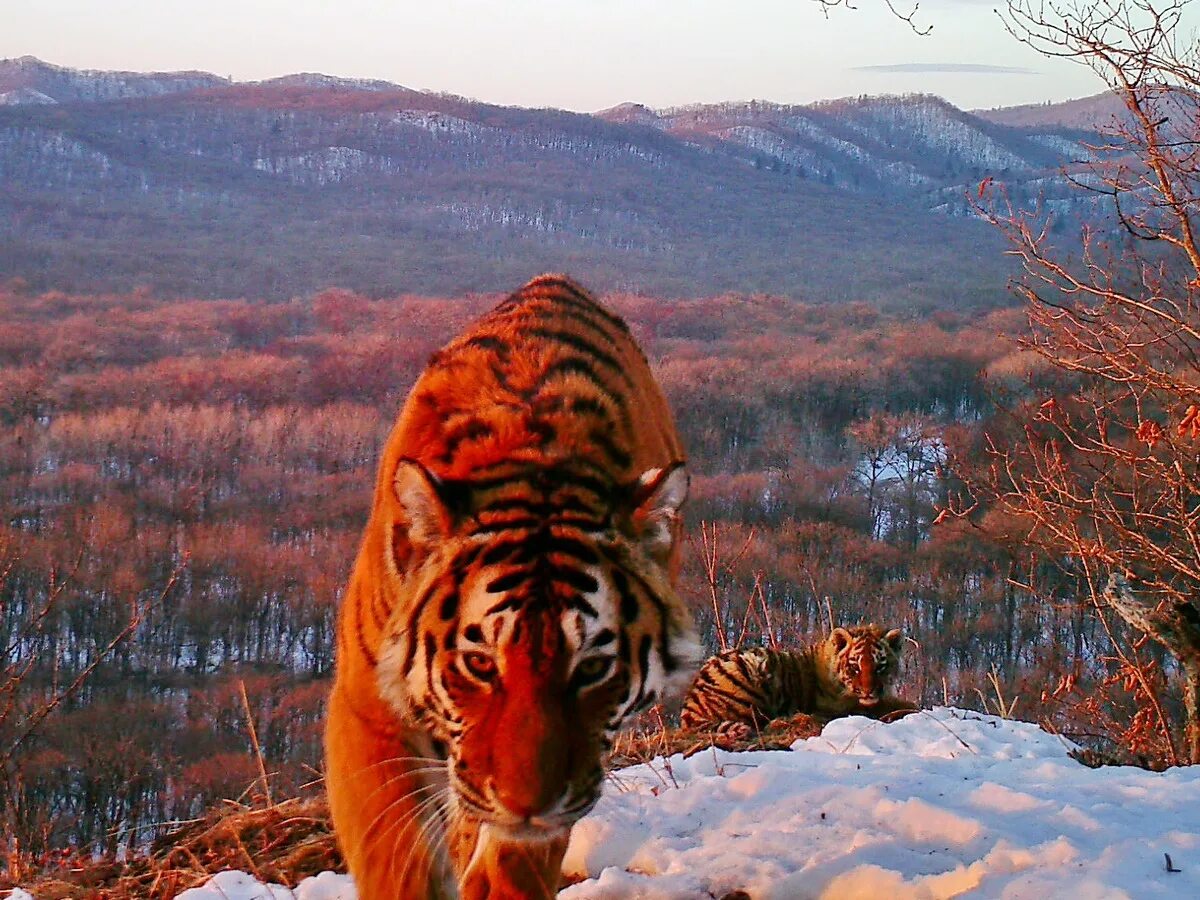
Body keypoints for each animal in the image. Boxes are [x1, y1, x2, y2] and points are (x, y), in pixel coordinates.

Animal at [324, 273, 701, 899]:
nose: (527, 805)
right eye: (479, 663)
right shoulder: (367, 712)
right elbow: (397, 860)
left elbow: (516, 864)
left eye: (593, 668)